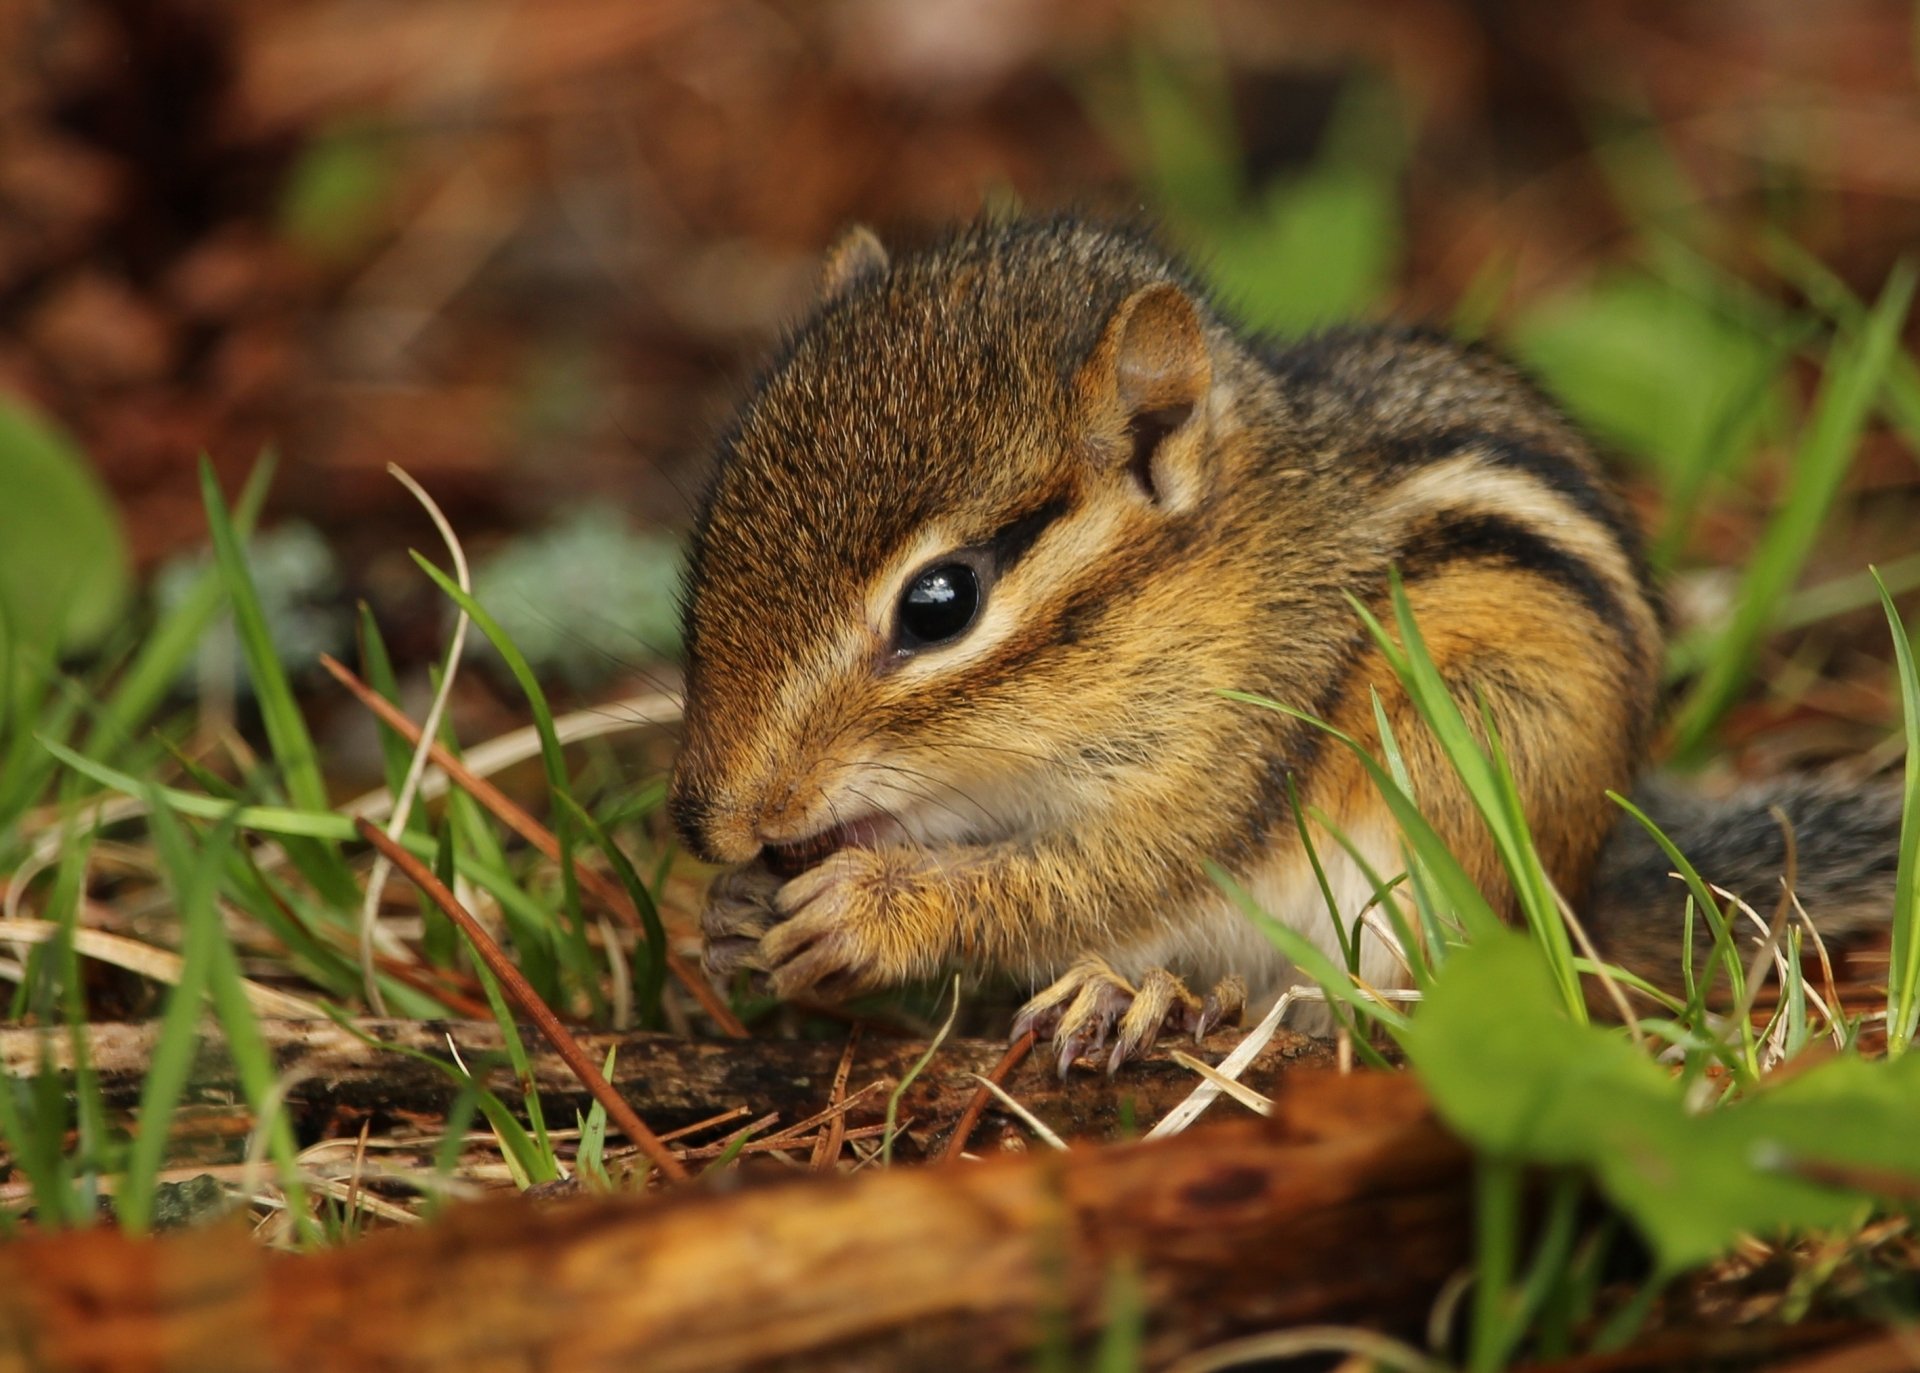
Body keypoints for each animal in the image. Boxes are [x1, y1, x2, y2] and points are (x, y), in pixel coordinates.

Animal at [667, 216, 1903, 1070]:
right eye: (712, 523)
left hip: (1452, 801)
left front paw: (879, 910)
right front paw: (730, 915)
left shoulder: (1241, 745)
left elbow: (1099, 875)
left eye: (940, 603)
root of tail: (1581, 899)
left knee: (1381, 1001)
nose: (705, 821)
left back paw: (1163, 997)